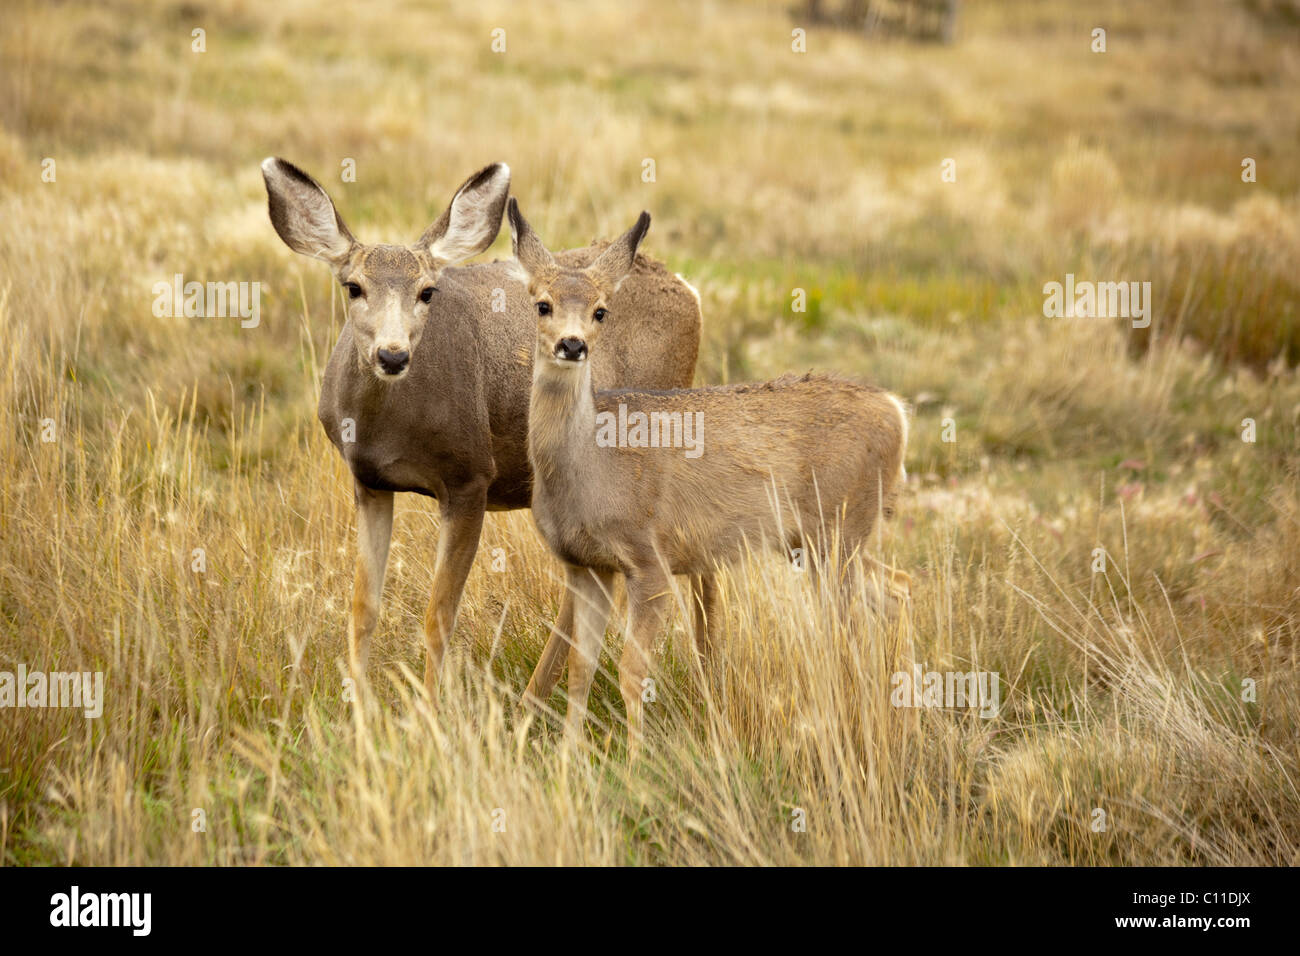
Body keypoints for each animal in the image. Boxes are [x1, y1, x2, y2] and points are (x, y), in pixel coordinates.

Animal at [260, 158, 710, 697]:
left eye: (427, 291)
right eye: (353, 286)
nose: (392, 355)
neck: (387, 431)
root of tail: (687, 287)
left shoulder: (470, 476)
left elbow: (438, 616)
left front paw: (430, 709)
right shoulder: (368, 481)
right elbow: (362, 609)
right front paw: (359, 706)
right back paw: (537, 698)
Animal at [508, 197, 911, 755]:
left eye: (600, 310)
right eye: (542, 304)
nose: (572, 345)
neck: (590, 464)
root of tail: (896, 411)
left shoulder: (650, 561)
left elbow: (632, 672)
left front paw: (635, 764)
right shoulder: (587, 567)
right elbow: (580, 669)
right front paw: (569, 759)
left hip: (838, 532)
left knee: (855, 624)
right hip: (818, 541)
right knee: (899, 589)